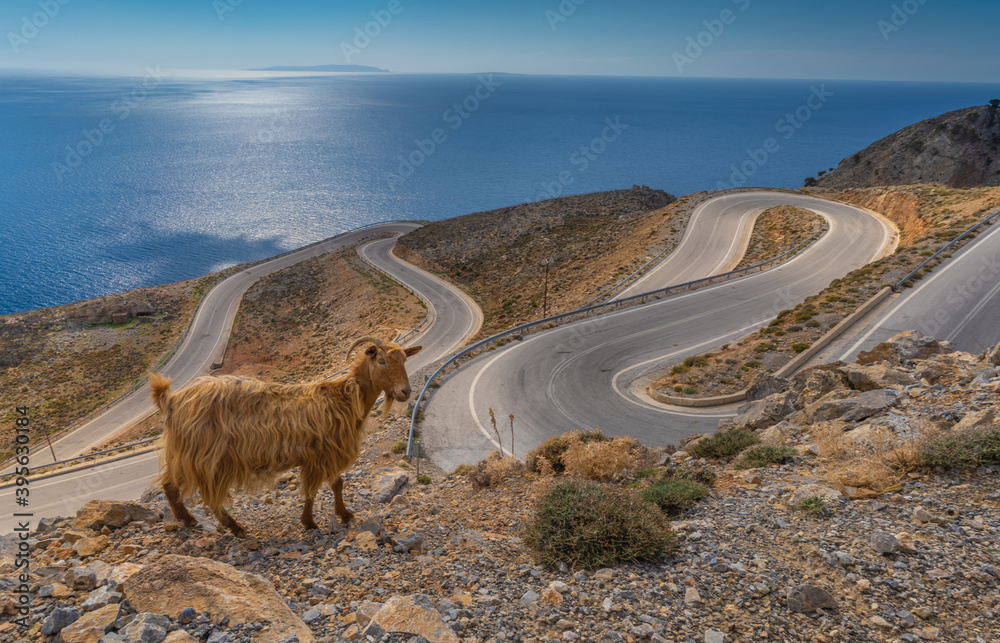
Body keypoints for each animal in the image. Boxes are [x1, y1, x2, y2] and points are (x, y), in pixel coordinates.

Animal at [149, 336, 421, 537]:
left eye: (404, 359)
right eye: (381, 361)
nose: (405, 392)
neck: (343, 399)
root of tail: (171, 399)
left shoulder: (327, 454)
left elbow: (337, 484)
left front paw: (344, 514)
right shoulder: (320, 456)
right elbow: (312, 491)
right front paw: (310, 522)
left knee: (170, 484)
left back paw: (190, 520)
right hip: (203, 456)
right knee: (195, 491)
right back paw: (231, 526)